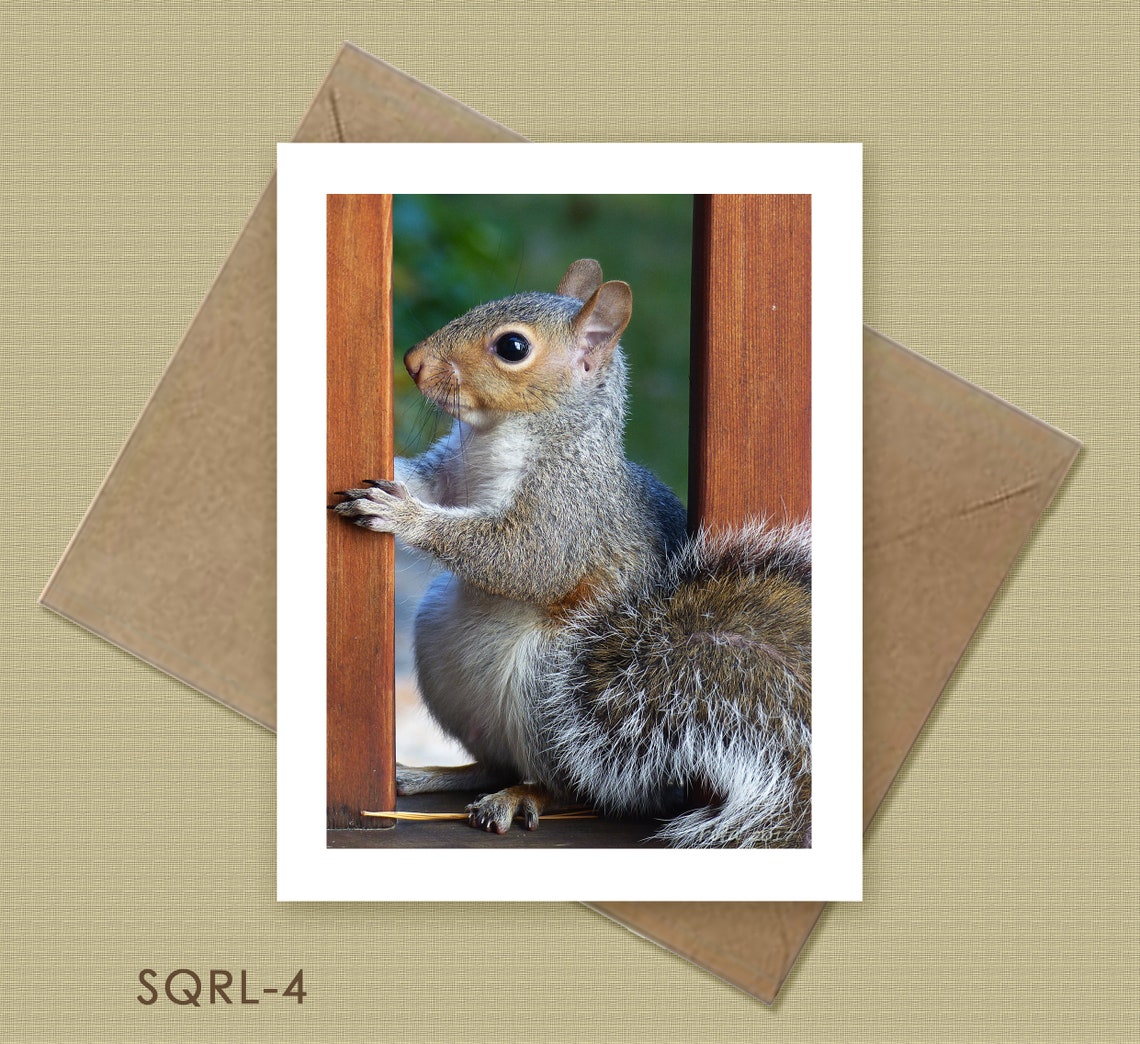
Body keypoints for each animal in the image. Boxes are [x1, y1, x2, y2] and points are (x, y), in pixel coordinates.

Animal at [332, 259, 811, 848]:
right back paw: (429, 775)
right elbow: (423, 479)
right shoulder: (452, 472)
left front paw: (404, 517)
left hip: (548, 688)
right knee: (492, 763)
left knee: (569, 785)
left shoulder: (568, 508)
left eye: (512, 347)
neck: (506, 434)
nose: (412, 362)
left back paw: (522, 796)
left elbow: (525, 557)